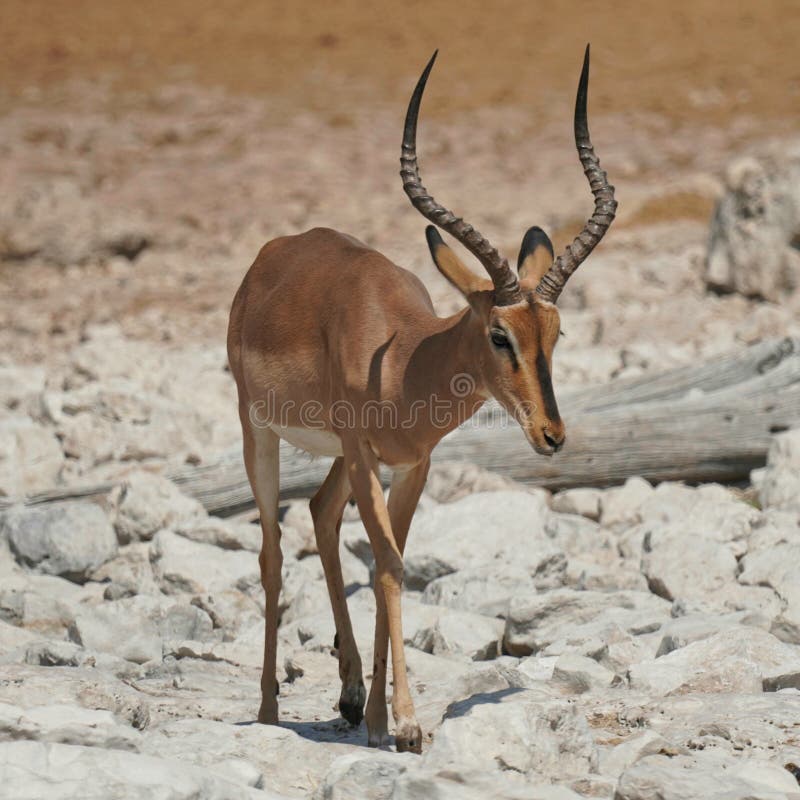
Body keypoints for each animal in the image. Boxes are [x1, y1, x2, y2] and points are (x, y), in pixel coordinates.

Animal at [227, 45, 616, 752]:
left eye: (555, 332)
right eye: (499, 335)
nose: (552, 435)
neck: (402, 361)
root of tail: (269, 258)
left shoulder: (410, 465)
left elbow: (393, 563)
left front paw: (383, 718)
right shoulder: (362, 451)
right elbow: (387, 566)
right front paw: (406, 724)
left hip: (341, 458)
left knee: (321, 512)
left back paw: (352, 697)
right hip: (259, 430)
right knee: (271, 552)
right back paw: (269, 710)